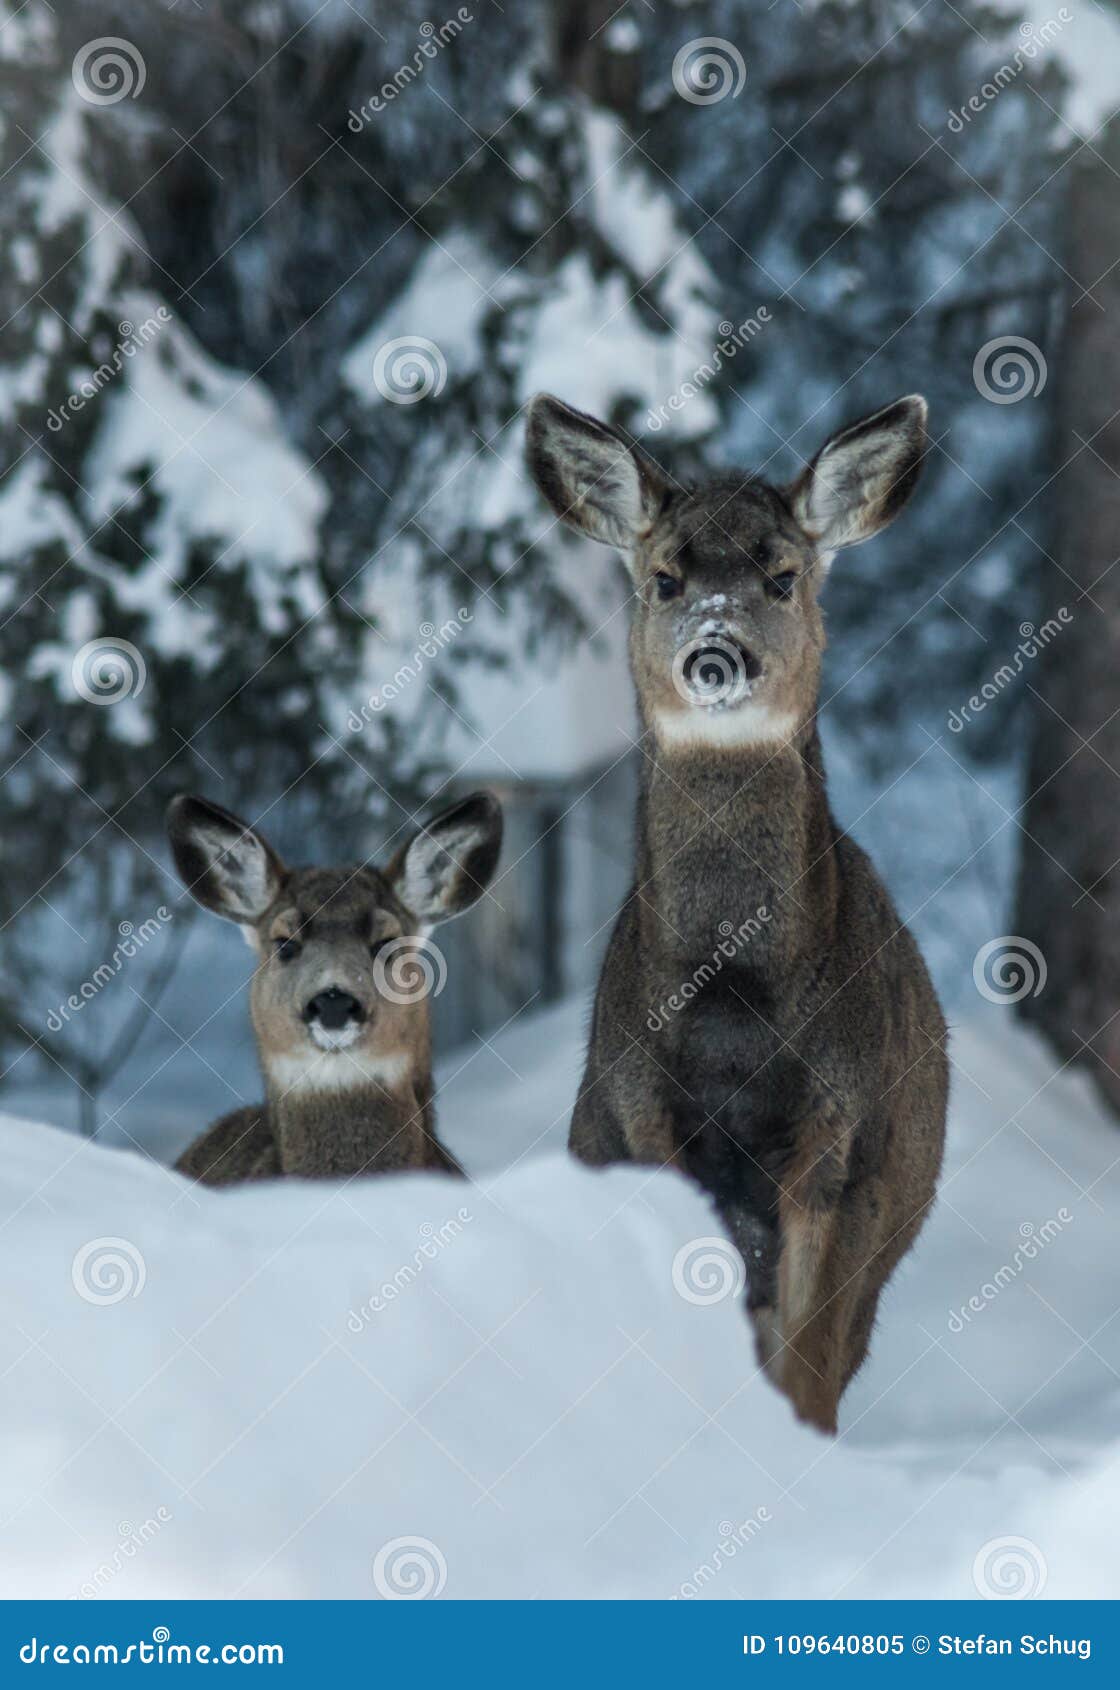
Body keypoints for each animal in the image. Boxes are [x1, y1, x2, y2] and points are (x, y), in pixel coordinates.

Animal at [526, 391, 948, 1433]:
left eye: (784, 575)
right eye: (666, 578)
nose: (717, 653)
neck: (732, 1010)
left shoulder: (845, 1144)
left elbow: (809, 1367)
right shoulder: (643, 1117)